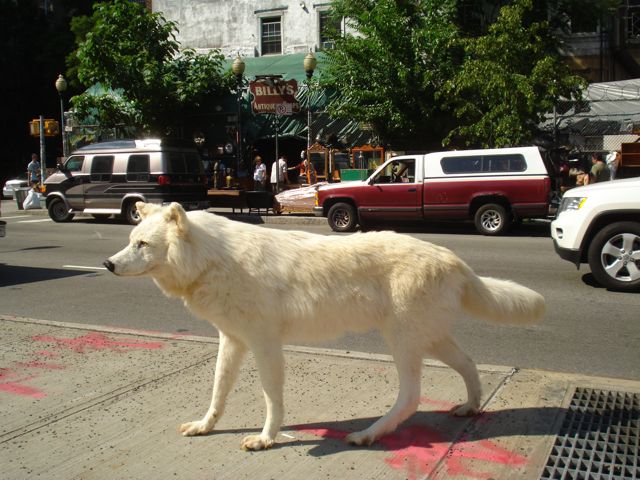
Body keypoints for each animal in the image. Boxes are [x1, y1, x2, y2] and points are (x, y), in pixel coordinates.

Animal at [104, 202, 545, 451]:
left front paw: (266, 439)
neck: (213, 259)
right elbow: (218, 392)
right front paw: (204, 427)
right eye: (130, 239)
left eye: (142, 244)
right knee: (468, 365)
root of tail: (457, 260)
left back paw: (367, 435)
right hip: (431, 341)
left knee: (412, 398)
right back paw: (470, 407)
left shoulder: (265, 345)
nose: (107, 264)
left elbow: (271, 399)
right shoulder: (232, 340)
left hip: (403, 343)